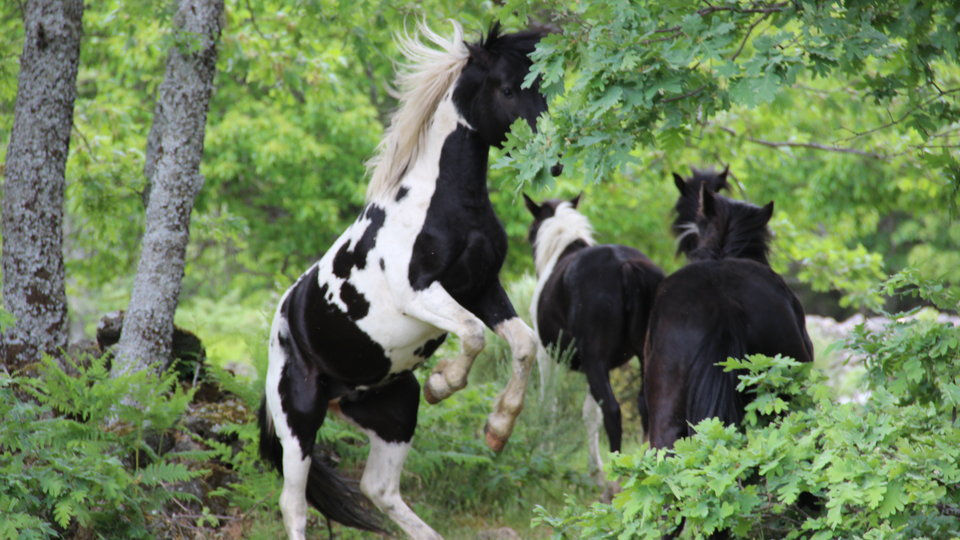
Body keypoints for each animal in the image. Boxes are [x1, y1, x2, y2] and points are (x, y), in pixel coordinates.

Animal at [258, 22, 559, 540]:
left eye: (541, 87)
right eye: (506, 89)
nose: (552, 158)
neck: (443, 207)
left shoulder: (482, 288)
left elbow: (522, 343)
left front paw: (497, 430)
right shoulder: (417, 293)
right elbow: (474, 336)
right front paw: (444, 383)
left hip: (394, 408)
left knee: (378, 488)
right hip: (298, 420)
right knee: (293, 505)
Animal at [523, 193, 663, 489]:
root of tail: (625, 266)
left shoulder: (547, 355)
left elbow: (548, 406)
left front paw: (544, 456)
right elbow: (590, 413)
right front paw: (594, 468)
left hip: (594, 360)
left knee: (612, 410)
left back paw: (616, 478)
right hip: (643, 357)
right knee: (644, 406)